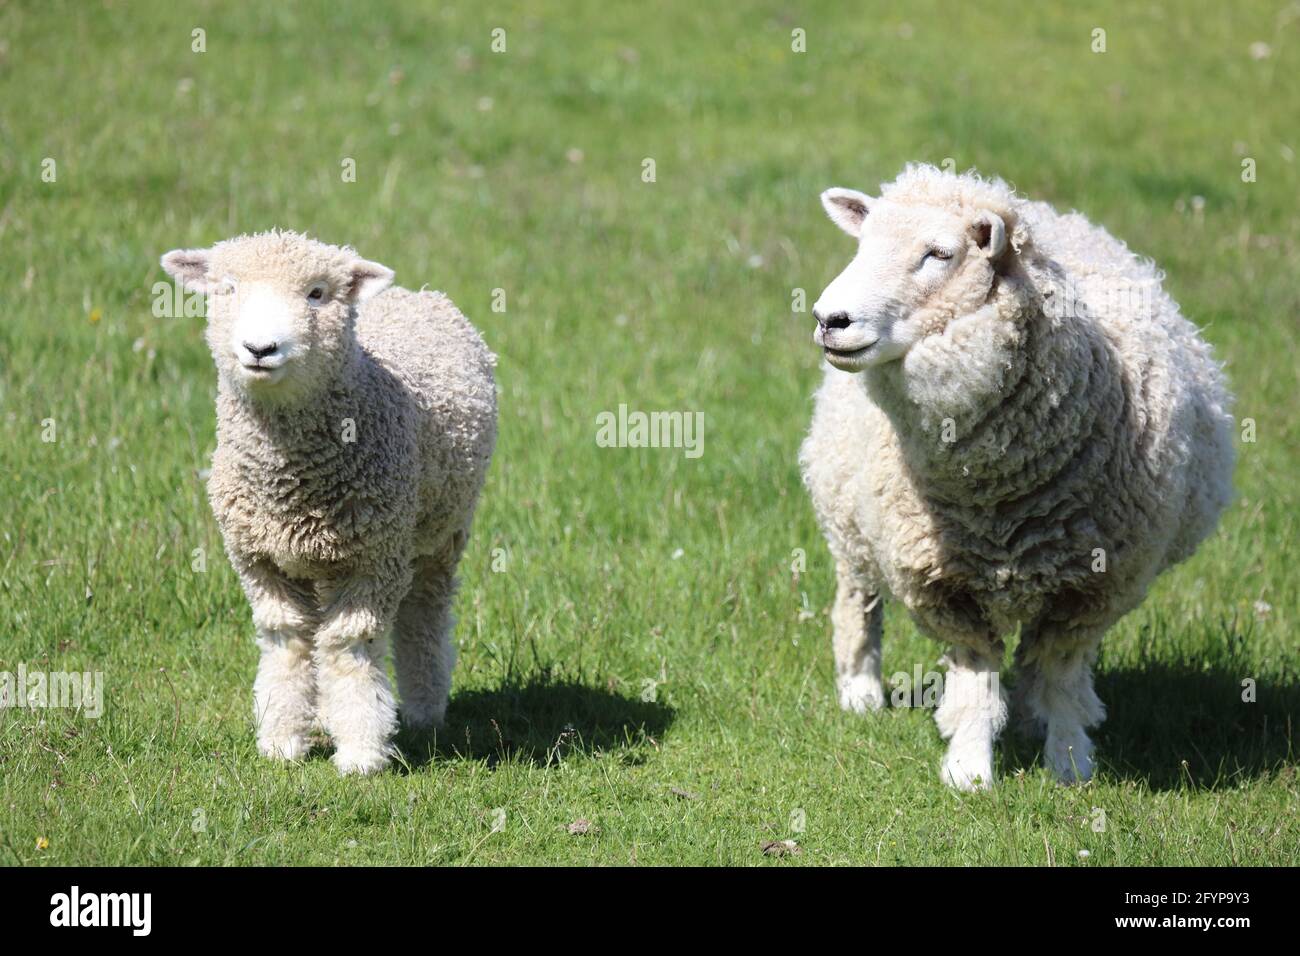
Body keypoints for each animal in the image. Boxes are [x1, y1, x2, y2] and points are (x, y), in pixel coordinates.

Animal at [161, 230, 497, 775]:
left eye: (316, 294)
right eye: (228, 288)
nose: (260, 348)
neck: (292, 480)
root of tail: (419, 294)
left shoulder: (375, 557)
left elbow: (348, 647)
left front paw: (361, 752)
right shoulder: (259, 559)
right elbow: (288, 642)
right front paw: (282, 741)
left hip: (441, 531)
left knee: (424, 616)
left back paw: (424, 710)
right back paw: (321, 715)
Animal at [799, 165, 1234, 790]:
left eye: (939, 254)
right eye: (862, 244)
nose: (829, 320)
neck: (996, 490)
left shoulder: (1095, 584)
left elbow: (1062, 674)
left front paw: (1070, 764)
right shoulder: (942, 581)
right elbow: (975, 677)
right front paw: (969, 773)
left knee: (1036, 656)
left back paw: (1035, 716)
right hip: (850, 519)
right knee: (859, 599)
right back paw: (860, 693)